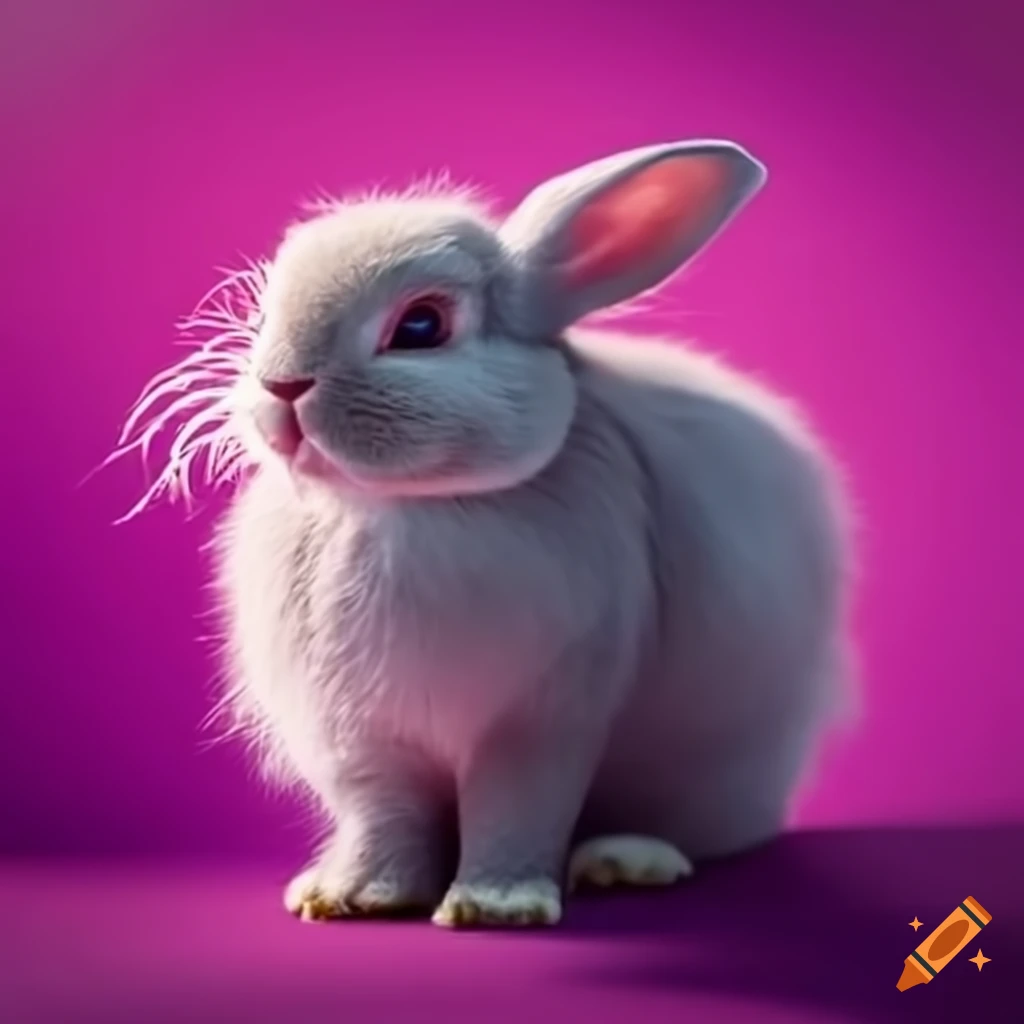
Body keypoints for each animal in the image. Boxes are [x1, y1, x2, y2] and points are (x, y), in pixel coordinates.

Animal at [116, 139, 853, 929]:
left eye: (420, 327)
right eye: (263, 315)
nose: (280, 383)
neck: (405, 508)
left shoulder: (544, 717)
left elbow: (516, 807)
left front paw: (497, 907)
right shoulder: (364, 741)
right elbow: (385, 817)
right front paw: (349, 896)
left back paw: (623, 861)